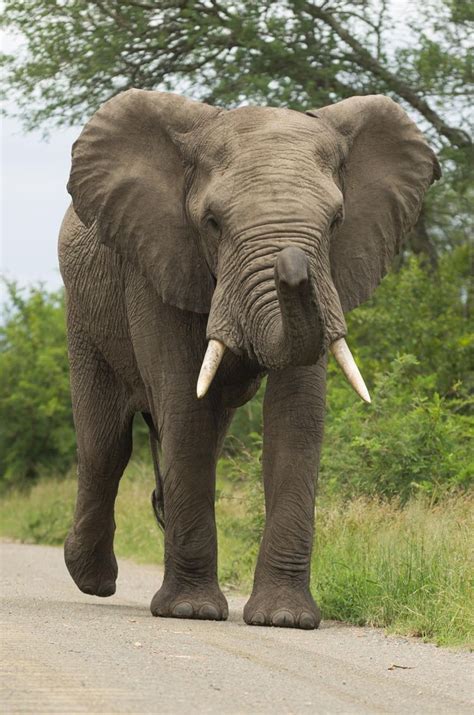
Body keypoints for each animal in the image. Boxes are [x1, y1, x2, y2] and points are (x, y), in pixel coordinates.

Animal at [59, 90, 440, 630]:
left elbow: (295, 416)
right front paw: (190, 612)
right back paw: (93, 581)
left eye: (336, 223)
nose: (292, 262)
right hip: (85, 316)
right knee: (106, 444)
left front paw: (286, 619)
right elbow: (185, 406)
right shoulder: (155, 260)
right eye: (213, 223)